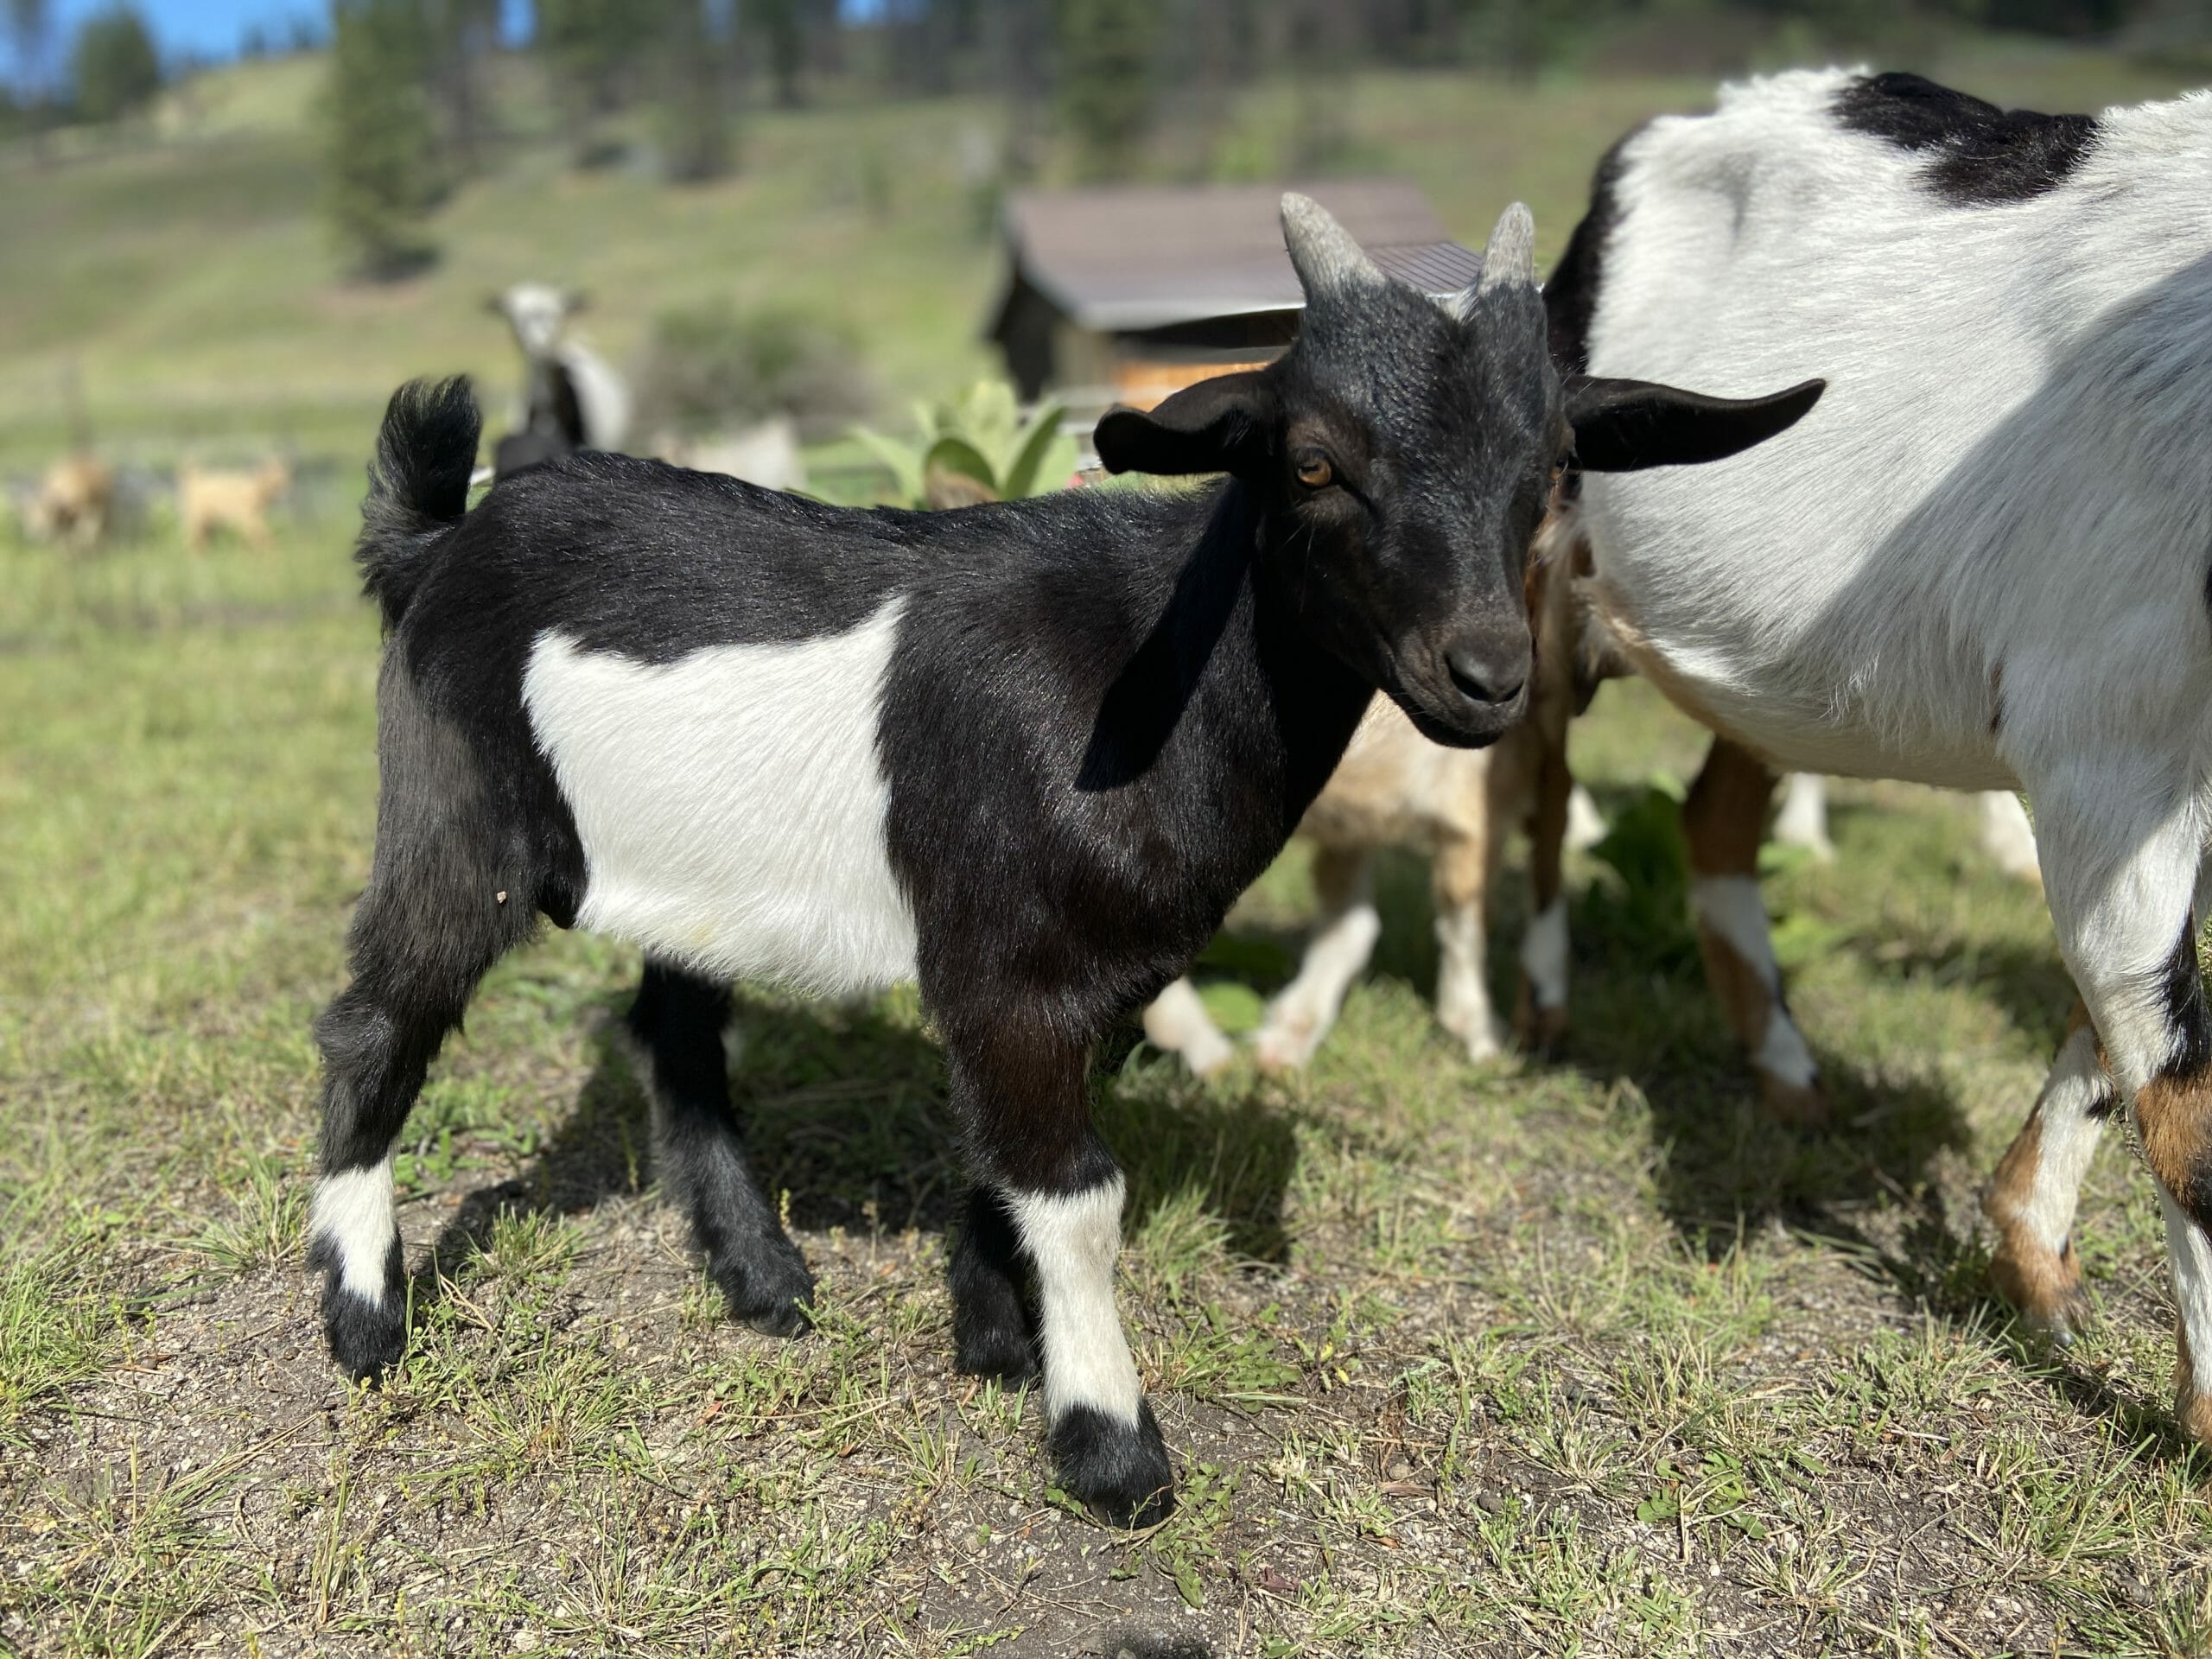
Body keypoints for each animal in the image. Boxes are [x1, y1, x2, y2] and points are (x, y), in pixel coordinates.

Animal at [179, 459, 290, 550]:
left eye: (283, 478)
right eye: (275, 479)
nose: (282, 489)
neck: (256, 489)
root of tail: (194, 482)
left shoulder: (250, 516)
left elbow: (252, 533)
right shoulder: (248, 514)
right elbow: (259, 531)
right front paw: (270, 548)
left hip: (209, 516)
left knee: (204, 533)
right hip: (198, 512)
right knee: (194, 533)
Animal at [312, 197, 1818, 1525]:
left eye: (1558, 463)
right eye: (1311, 459)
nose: (1488, 673)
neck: (1143, 661)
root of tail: (442, 539)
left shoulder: (1065, 985)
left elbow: (1009, 1161)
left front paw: (994, 1334)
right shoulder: (1010, 971)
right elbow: (1084, 1197)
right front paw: (1110, 1446)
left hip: (693, 874)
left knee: (674, 1033)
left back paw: (764, 1279)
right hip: (460, 815)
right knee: (380, 1019)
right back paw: (365, 1320)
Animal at [1545, 70, 2212, 1439]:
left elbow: (2119, 1023)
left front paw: (2032, 1259)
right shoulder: (2112, 735)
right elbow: (2186, 1102)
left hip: (1766, 662)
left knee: (1713, 814)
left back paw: (1787, 1071)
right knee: (1522, 778)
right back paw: (1522, 1014)